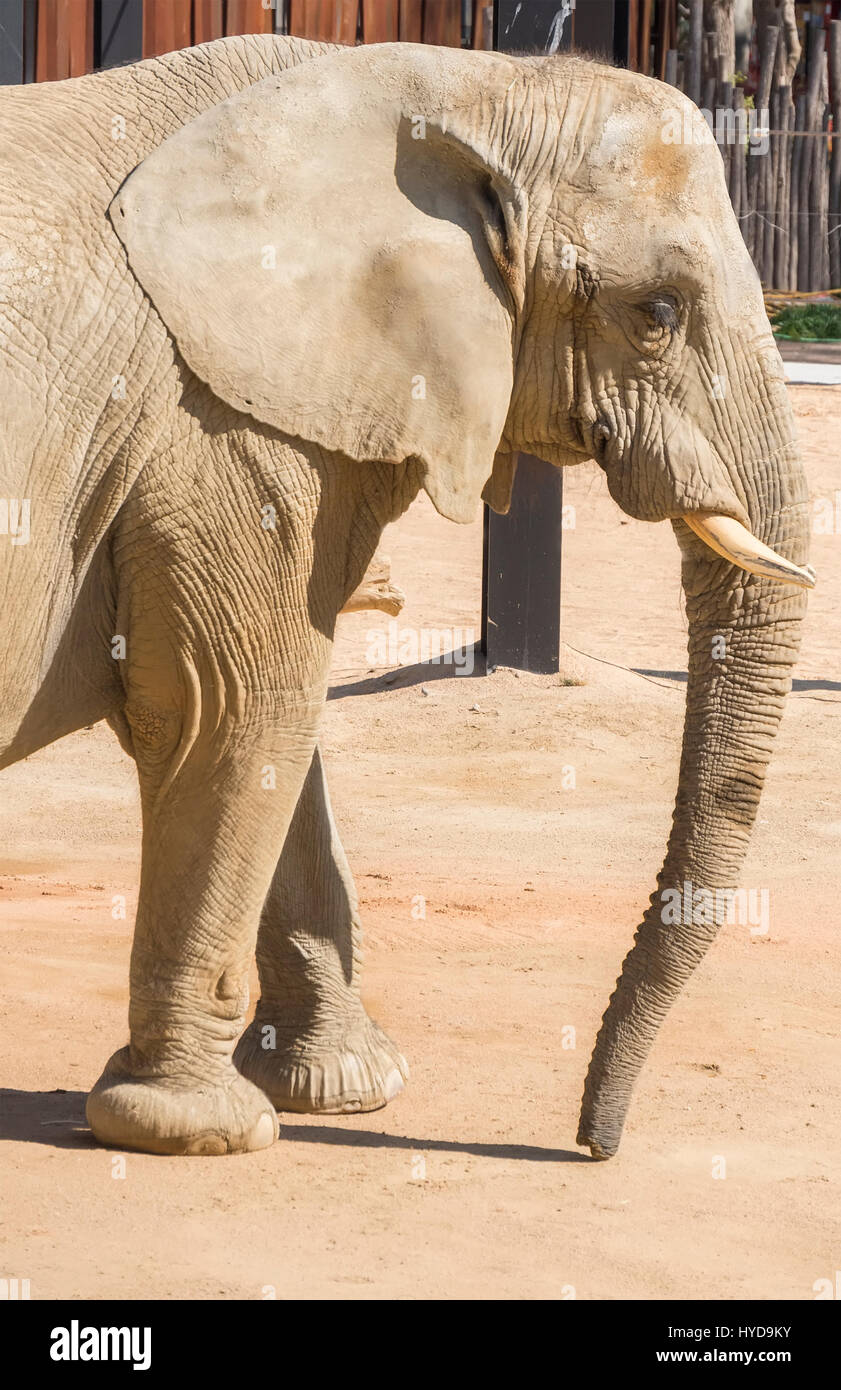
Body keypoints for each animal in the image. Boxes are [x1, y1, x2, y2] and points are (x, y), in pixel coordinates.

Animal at [0, 34, 814, 1158]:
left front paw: (344, 1087)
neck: (459, 81)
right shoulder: (217, 424)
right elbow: (229, 711)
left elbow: (279, 729)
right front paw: (198, 1127)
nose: (588, 1145)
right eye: (655, 313)